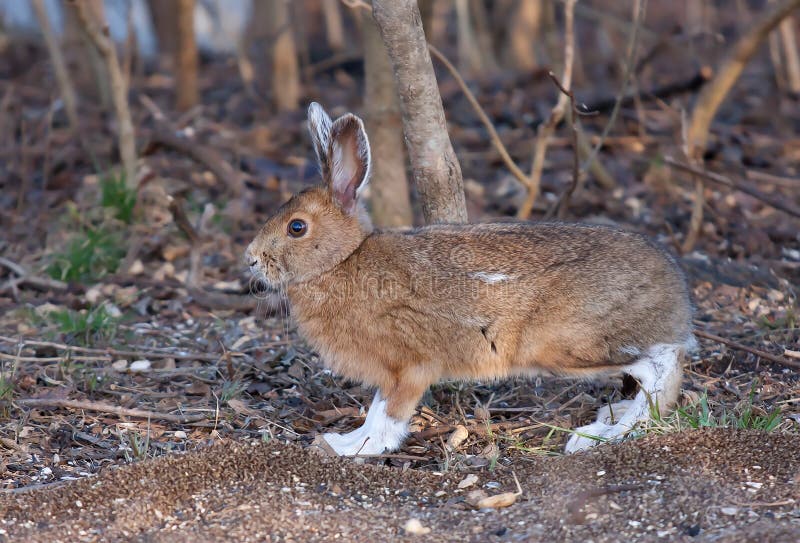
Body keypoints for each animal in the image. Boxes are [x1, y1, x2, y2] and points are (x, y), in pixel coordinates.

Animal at [245, 103, 695, 456]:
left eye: (297, 228)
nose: (250, 260)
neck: (342, 260)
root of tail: (676, 292)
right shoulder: (391, 372)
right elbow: (376, 406)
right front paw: (345, 441)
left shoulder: (409, 365)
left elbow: (388, 414)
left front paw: (356, 447)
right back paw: (611, 418)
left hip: (568, 344)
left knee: (663, 363)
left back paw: (604, 433)